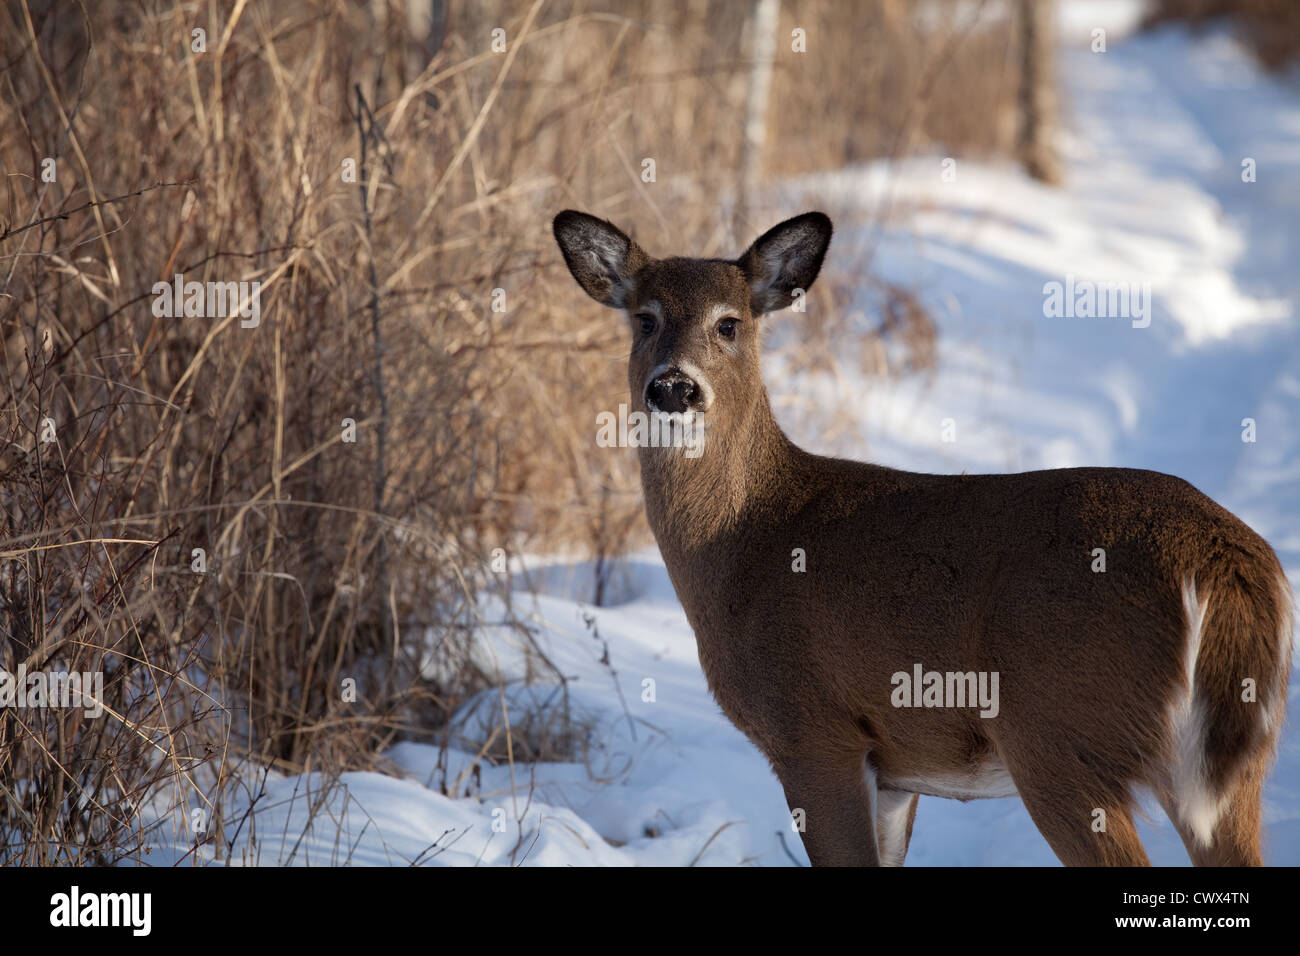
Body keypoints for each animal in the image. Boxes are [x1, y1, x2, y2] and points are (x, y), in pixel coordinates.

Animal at [552, 209, 1294, 867]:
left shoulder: (813, 730)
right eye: (644, 318)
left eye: (728, 322)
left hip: (1061, 734)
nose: (674, 388)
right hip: (1235, 758)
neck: (747, 544)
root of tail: (1221, 561)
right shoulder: (895, 768)